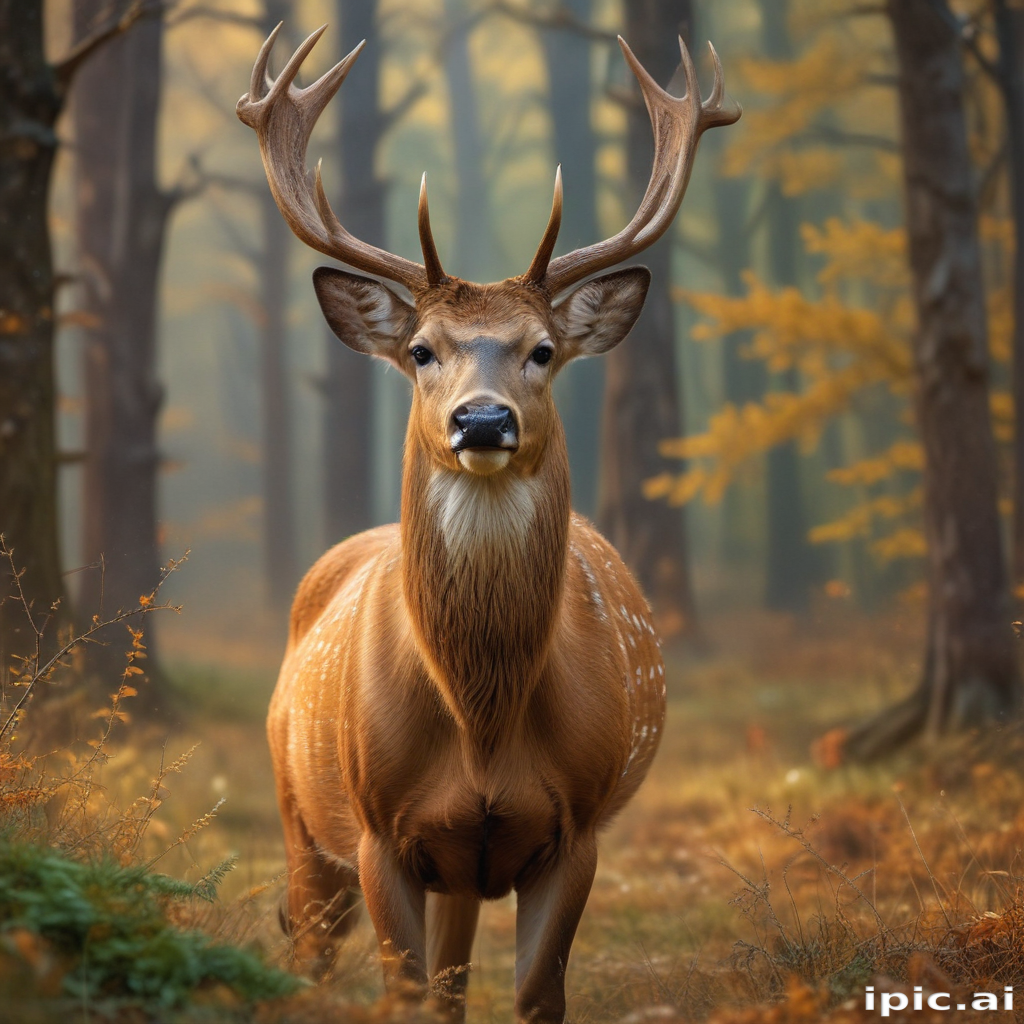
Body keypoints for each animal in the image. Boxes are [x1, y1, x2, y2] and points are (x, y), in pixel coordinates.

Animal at [237, 24, 738, 1024]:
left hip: (458, 871)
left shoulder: (576, 829)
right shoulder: (377, 832)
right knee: (311, 952)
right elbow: (403, 997)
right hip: (297, 806)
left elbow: (534, 996)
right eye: (421, 351)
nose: (481, 420)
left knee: (451, 977)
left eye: (542, 350)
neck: (481, 721)